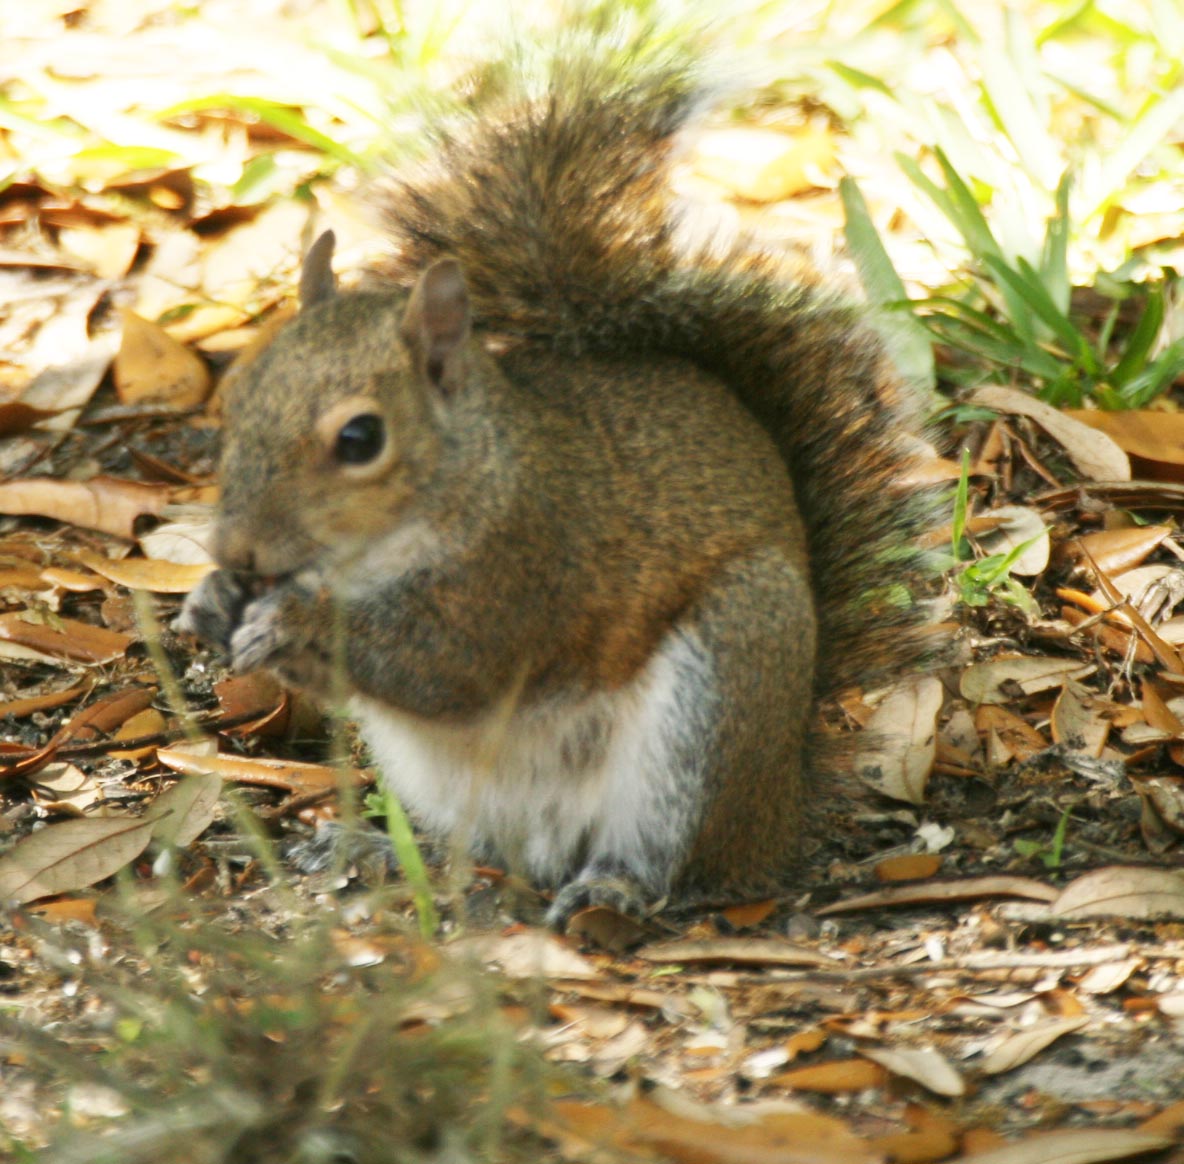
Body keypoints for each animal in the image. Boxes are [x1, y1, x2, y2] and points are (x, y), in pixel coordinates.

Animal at [177, 26, 940, 927]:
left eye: (361, 438)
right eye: (238, 394)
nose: (239, 551)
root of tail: (779, 808)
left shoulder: (526, 567)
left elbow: (444, 667)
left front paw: (291, 621)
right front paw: (211, 601)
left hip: (717, 693)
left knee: (682, 865)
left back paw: (615, 886)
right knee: (472, 847)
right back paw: (373, 850)